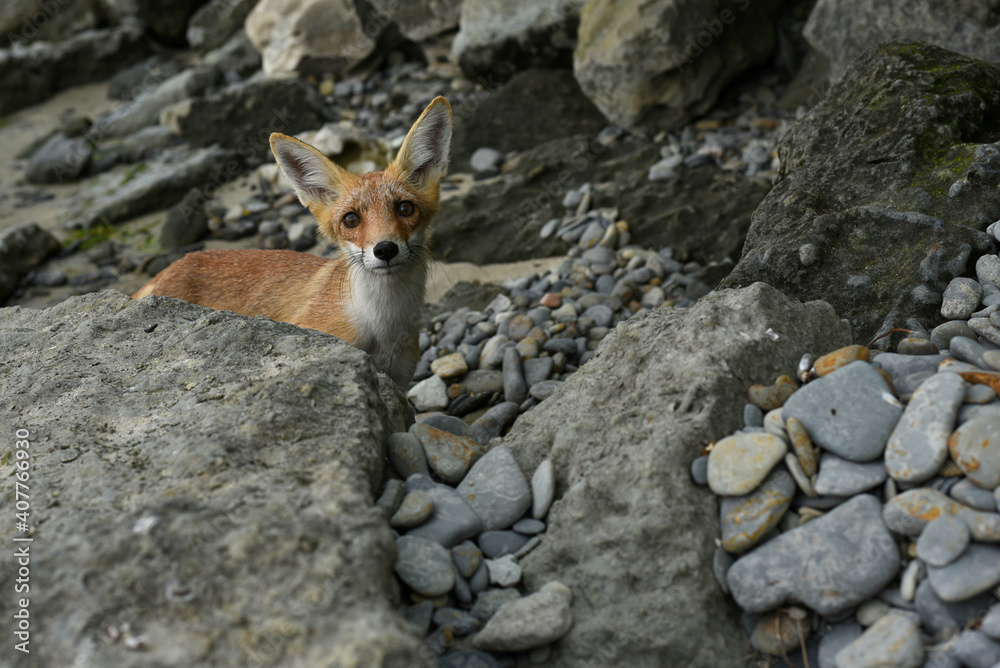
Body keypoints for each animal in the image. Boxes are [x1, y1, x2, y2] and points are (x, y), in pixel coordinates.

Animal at [133, 96, 453, 389]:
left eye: (405, 208)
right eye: (351, 220)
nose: (385, 249)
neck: (381, 327)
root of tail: (171, 267)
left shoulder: (398, 380)